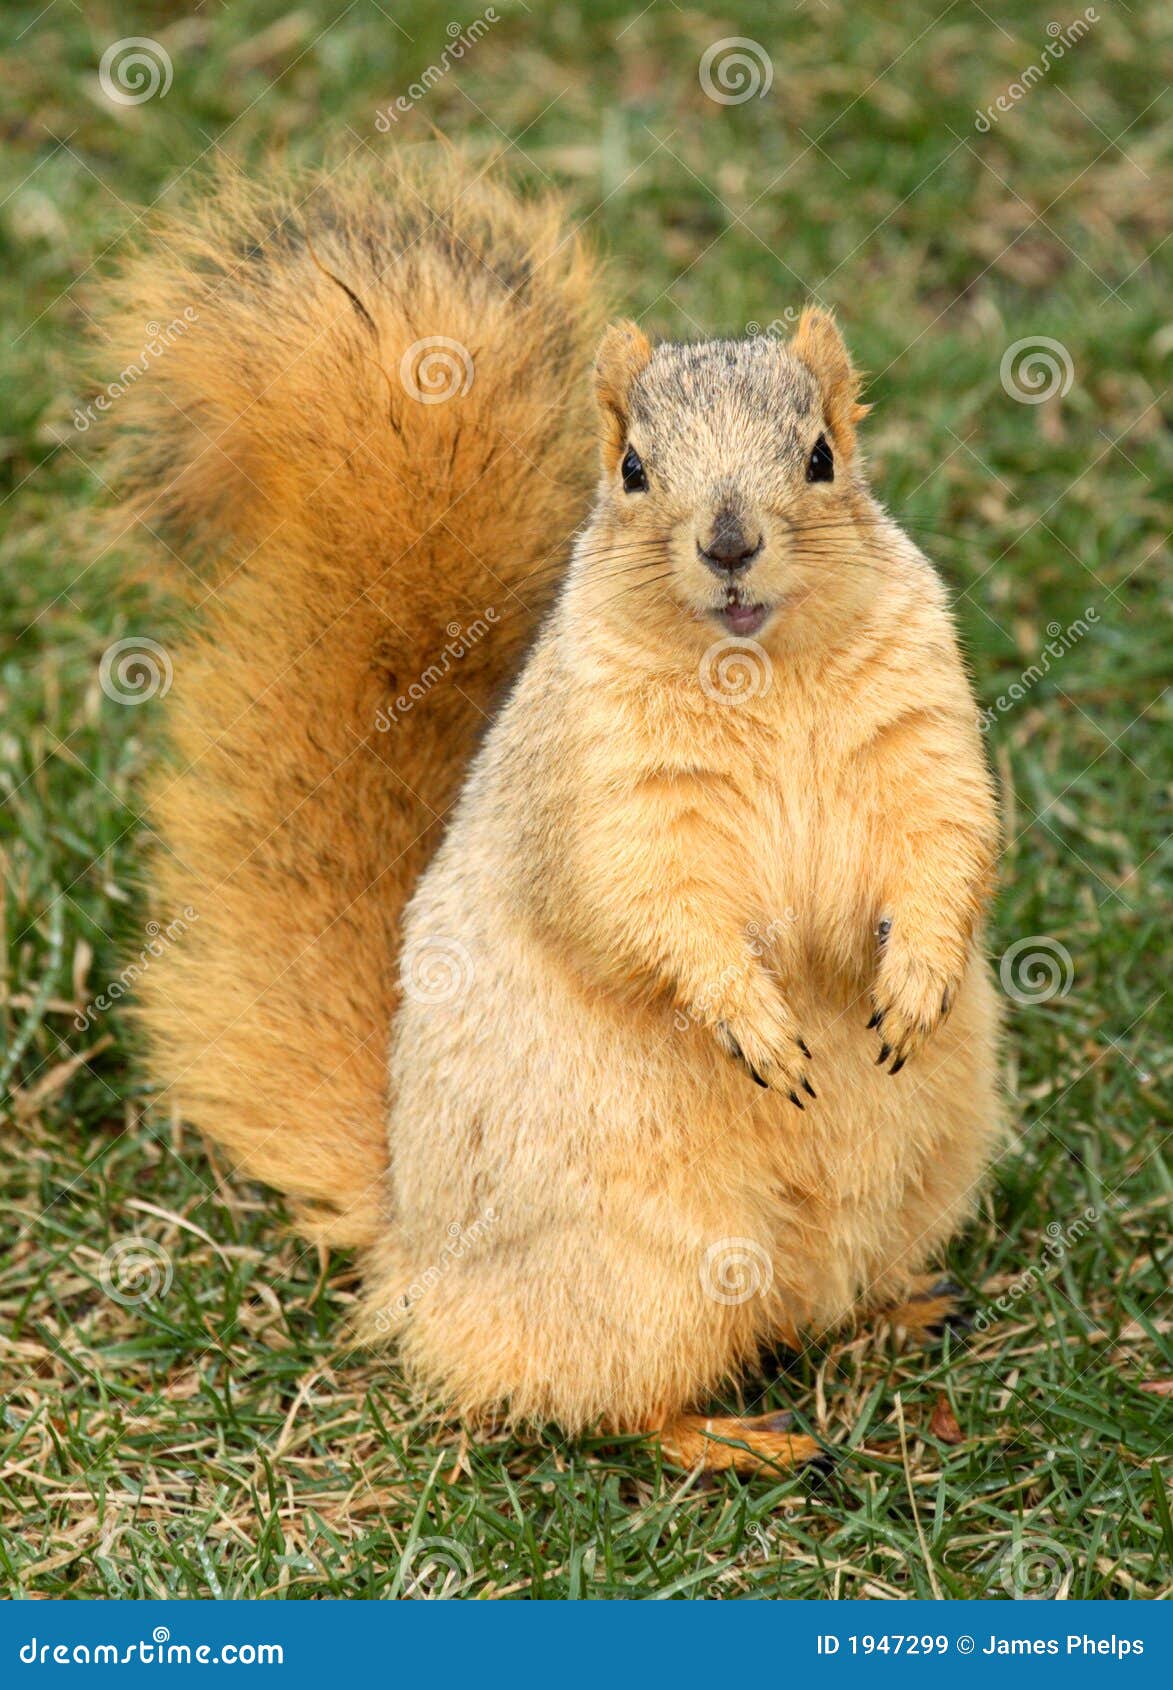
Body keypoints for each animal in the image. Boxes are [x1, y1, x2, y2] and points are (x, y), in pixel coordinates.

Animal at [100, 153, 1001, 1476]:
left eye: (821, 455)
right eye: (632, 470)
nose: (729, 543)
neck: (762, 674)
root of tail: (415, 1251)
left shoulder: (921, 733)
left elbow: (949, 840)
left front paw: (920, 974)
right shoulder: (600, 794)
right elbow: (640, 908)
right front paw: (751, 1020)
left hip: (915, 1179)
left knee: (816, 1308)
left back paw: (901, 1311)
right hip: (651, 1275)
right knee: (610, 1394)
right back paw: (733, 1439)